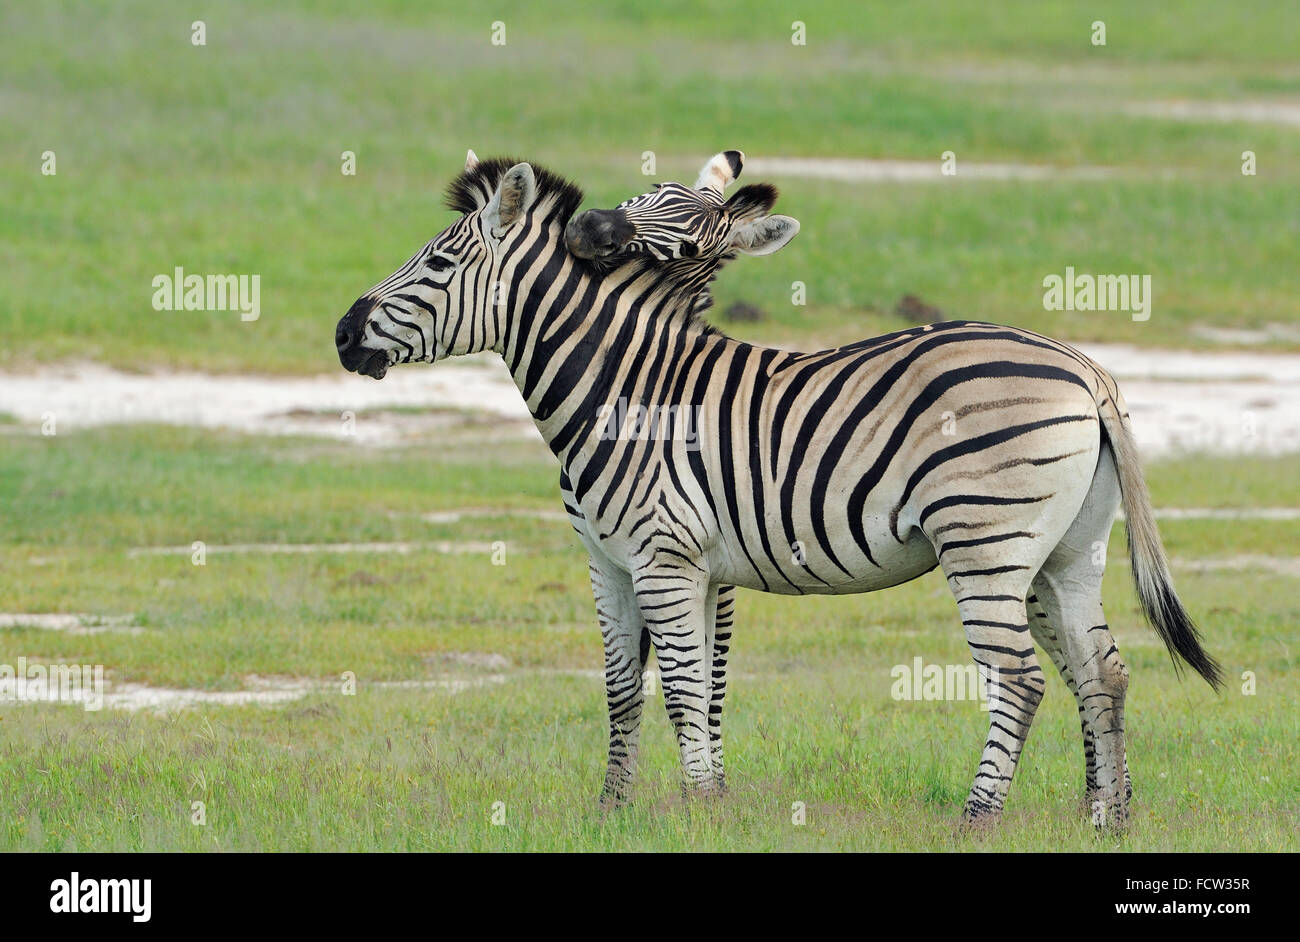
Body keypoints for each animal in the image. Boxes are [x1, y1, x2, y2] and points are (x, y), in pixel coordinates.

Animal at [335, 149, 1222, 826]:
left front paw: (696, 812)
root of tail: (1085, 368)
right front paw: (617, 811)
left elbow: (683, 689)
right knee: (1102, 671)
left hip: (985, 542)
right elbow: (632, 690)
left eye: (439, 263)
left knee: (1021, 678)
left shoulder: (665, 559)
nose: (343, 334)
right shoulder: (617, 562)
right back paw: (1107, 817)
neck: (626, 386)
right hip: (1064, 552)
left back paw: (978, 818)